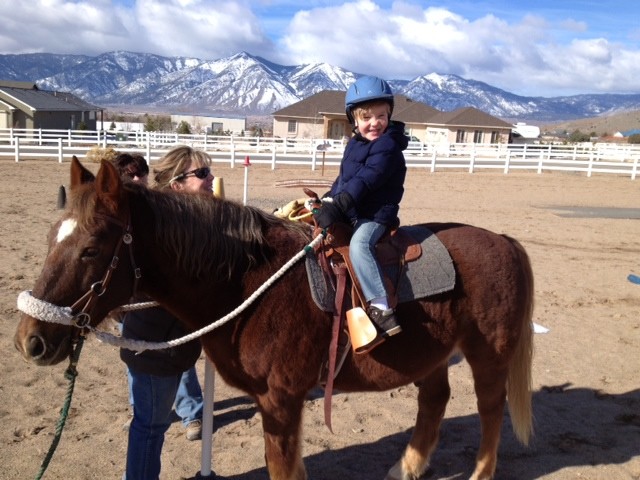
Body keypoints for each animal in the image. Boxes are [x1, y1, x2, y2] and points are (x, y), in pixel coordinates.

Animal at [14, 157, 534, 480]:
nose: (29, 341)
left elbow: (281, 467)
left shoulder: (281, 402)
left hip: (488, 356)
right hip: (429, 355)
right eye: (49, 238)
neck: (246, 279)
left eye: (90, 249)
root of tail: (504, 241)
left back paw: (481, 471)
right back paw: (407, 466)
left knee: (490, 409)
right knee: (435, 400)